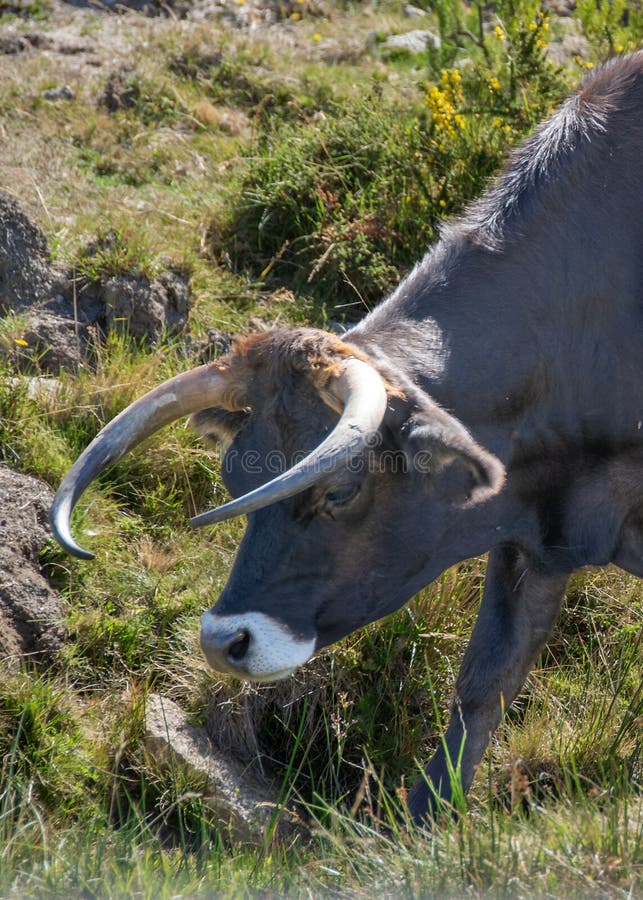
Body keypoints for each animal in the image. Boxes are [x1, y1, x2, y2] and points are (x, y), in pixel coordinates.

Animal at [51, 52, 643, 824]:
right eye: (236, 478)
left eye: (338, 490)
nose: (224, 642)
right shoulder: (530, 538)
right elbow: (484, 684)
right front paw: (422, 822)